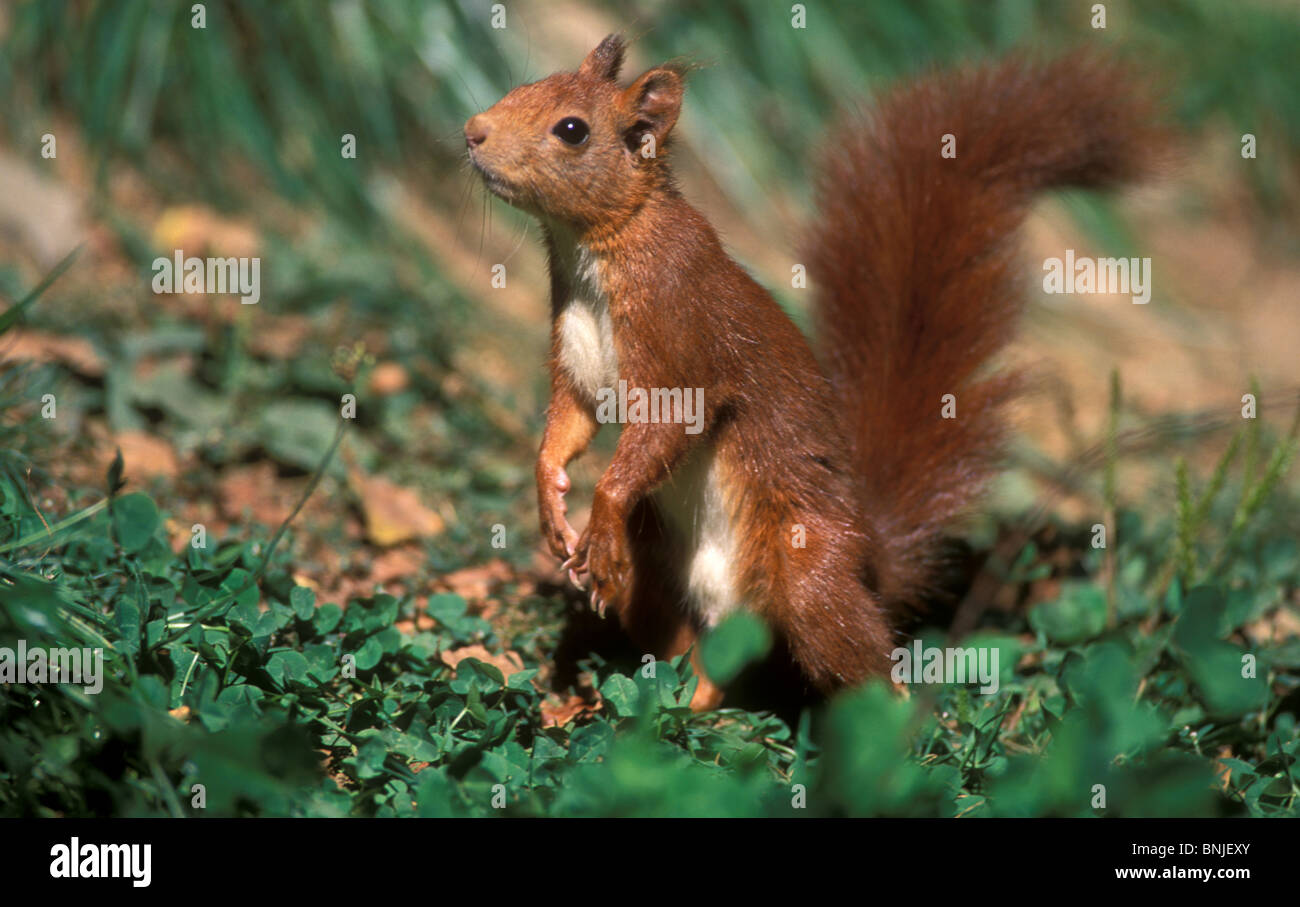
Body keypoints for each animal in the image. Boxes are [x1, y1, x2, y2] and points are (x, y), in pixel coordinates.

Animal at [464, 34, 1164, 710]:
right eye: (526, 84)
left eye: (572, 130)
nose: (472, 130)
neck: (597, 247)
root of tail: (867, 554)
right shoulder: (579, 354)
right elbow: (571, 421)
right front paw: (552, 502)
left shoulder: (679, 332)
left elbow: (668, 426)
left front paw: (596, 521)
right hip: (659, 567)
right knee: (701, 660)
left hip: (807, 570)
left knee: (856, 656)